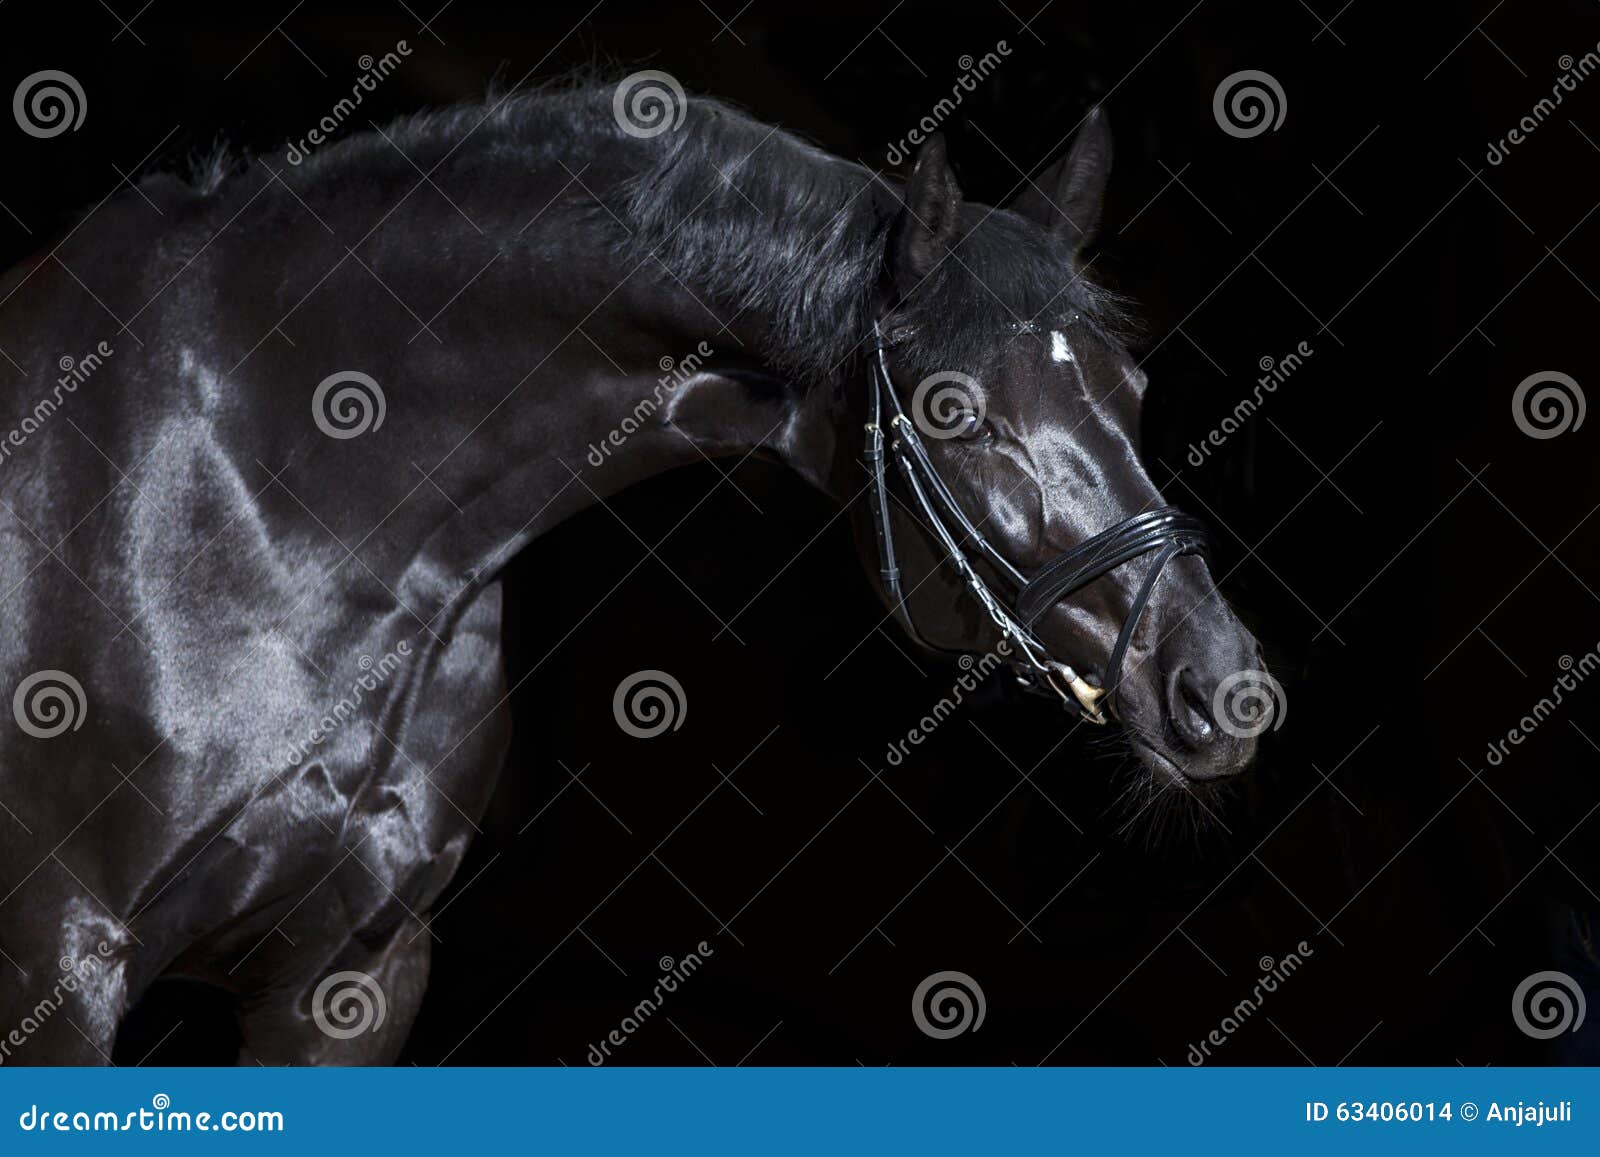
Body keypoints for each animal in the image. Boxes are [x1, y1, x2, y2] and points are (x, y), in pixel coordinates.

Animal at [0, 81, 1265, 1064]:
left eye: (1132, 391)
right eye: (959, 415)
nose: (1224, 685)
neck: (256, 481)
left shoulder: (348, 977)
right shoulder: (59, 964)